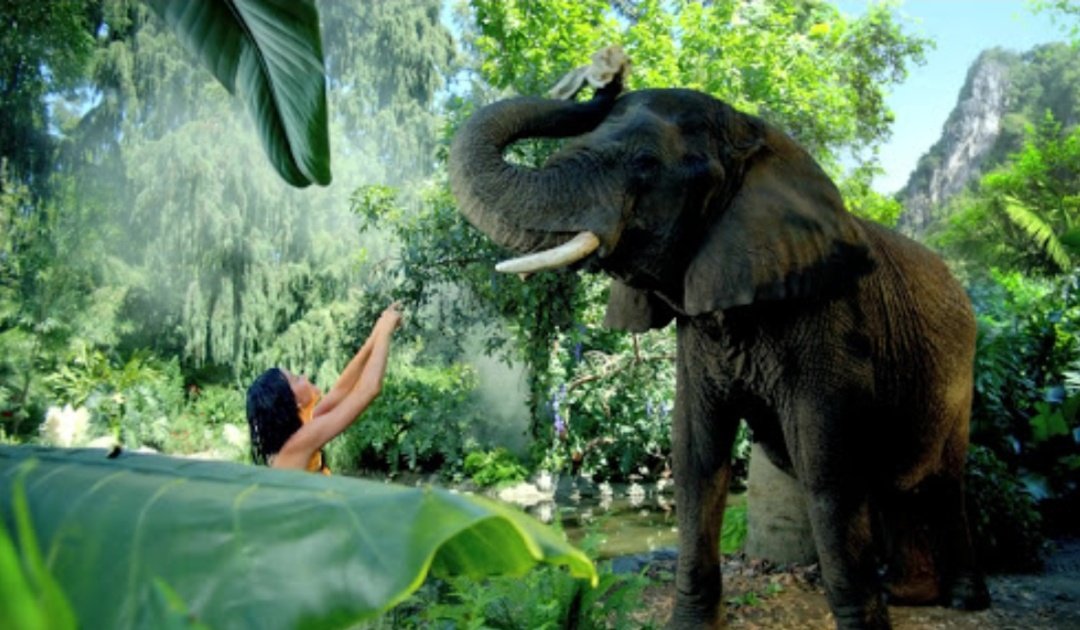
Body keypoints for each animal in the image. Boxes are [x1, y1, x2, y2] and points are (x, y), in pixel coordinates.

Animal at [448, 50, 989, 629]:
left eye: (645, 164)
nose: (609, 66)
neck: (755, 137)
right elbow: (694, 454)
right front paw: (690, 624)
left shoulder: (828, 319)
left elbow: (827, 466)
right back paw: (907, 594)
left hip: (961, 372)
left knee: (944, 480)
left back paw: (961, 598)